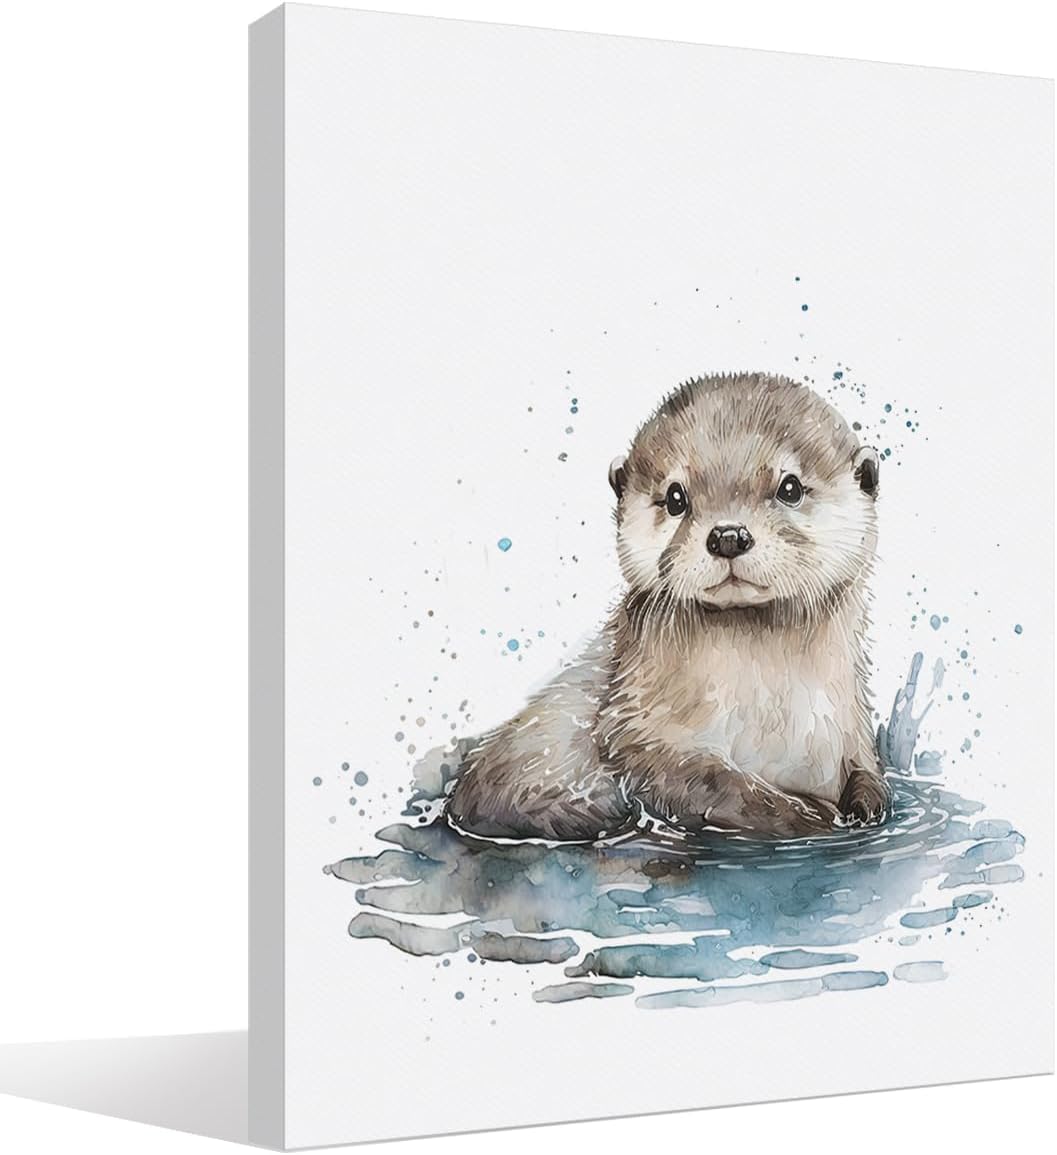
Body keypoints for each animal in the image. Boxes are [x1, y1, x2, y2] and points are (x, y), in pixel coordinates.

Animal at [447, 372, 890, 842]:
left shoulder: (851, 723)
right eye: (676, 497)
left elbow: (866, 768)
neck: (771, 712)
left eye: (789, 487)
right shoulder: (636, 729)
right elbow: (708, 782)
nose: (728, 535)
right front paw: (806, 814)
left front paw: (865, 802)